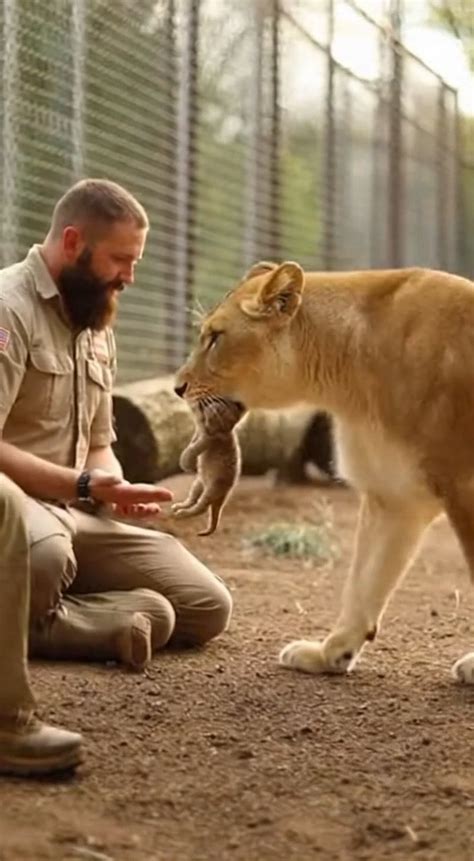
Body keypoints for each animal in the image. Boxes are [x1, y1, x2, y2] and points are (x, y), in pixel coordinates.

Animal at [174, 260, 474, 684]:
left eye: (215, 337)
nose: (177, 387)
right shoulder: (394, 497)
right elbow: (363, 581)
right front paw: (330, 653)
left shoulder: (463, 488)